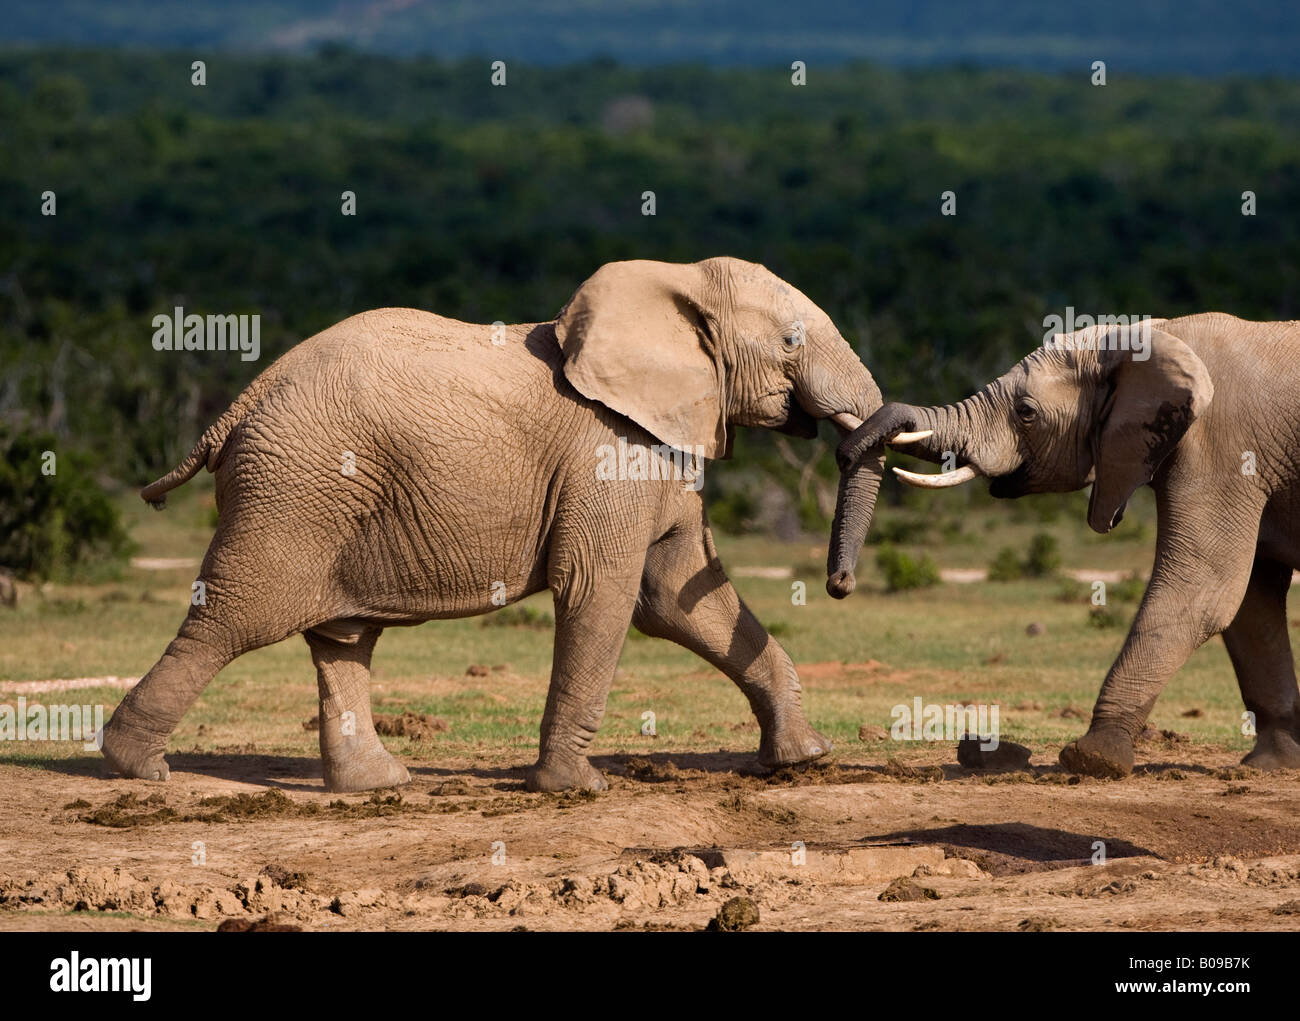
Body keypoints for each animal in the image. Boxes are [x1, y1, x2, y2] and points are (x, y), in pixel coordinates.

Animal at [101, 256, 885, 793]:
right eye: (791, 340)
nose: (840, 584)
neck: (677, 280)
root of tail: (237, 405)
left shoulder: (659, 445)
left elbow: (680, 596)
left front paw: (806, 757)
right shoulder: (608, 452)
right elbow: (605, 594)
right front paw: (577, 788)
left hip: (320, 495)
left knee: (341, 638)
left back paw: (379, 784)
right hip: (294, 491)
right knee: (233, 618)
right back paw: (137, 766)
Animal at [828, 313, 1300, 778]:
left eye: (1026, 412)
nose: (840, 583)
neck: (1145, 335)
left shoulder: (1224, 452)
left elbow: (1204, 590)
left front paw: (1093, 759)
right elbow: (1251, 602)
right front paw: (1270, 766)